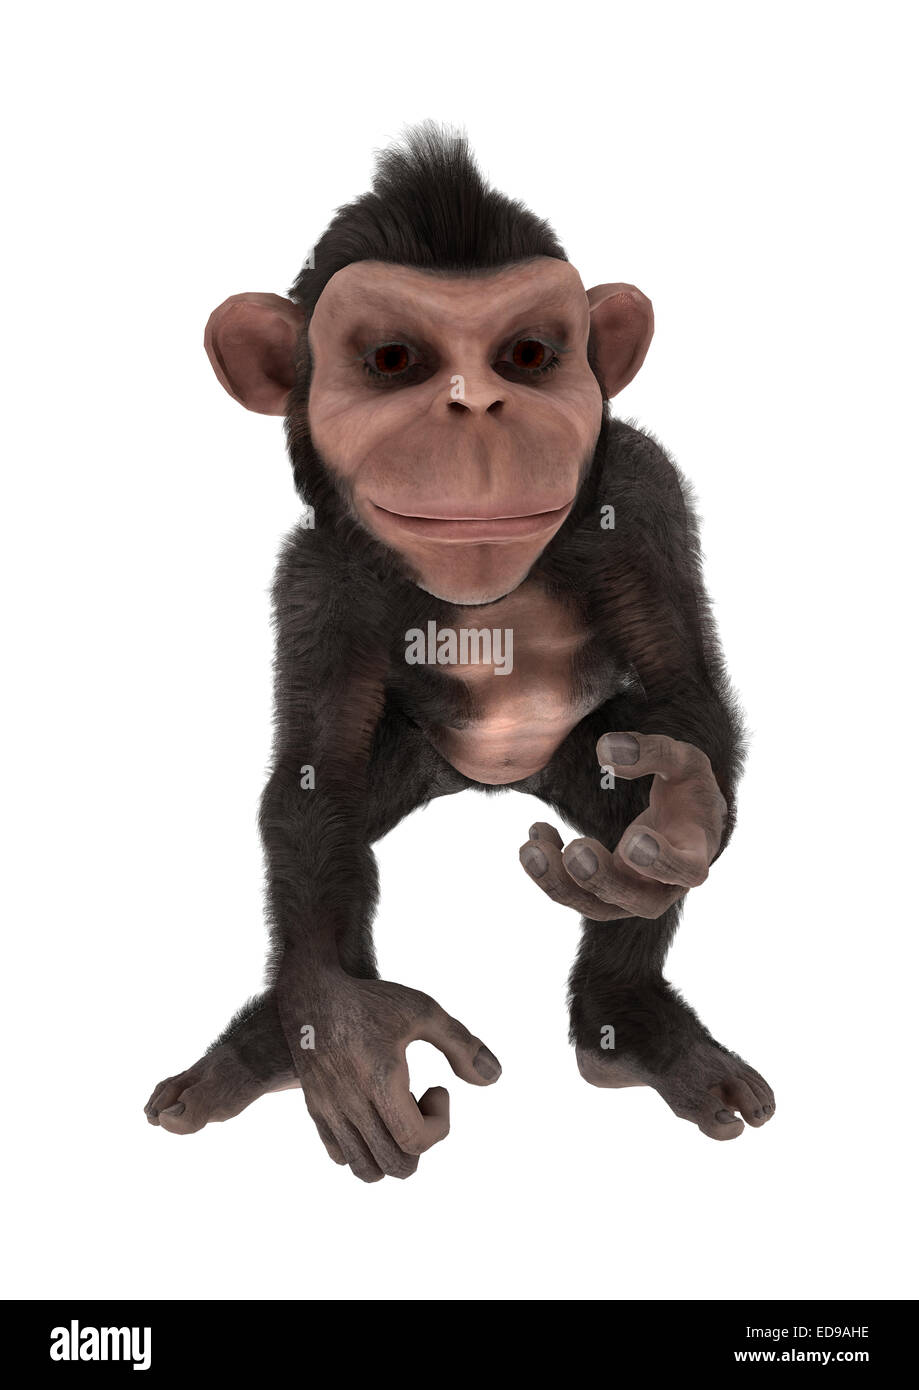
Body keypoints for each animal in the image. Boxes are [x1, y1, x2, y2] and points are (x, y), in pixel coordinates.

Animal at [145, 124, 775, 1181]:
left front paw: (678, 811)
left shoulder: (642, 495)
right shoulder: (318, 578)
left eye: (527, 355)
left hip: (568, 764)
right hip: (416, 759)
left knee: (608, 834)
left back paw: (627, 1027)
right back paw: (267, 1047)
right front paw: (347, 1036)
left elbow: (676, 691)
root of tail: (488, 784)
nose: (476, 406)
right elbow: (315, 781)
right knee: (335, 840)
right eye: (393, 358)